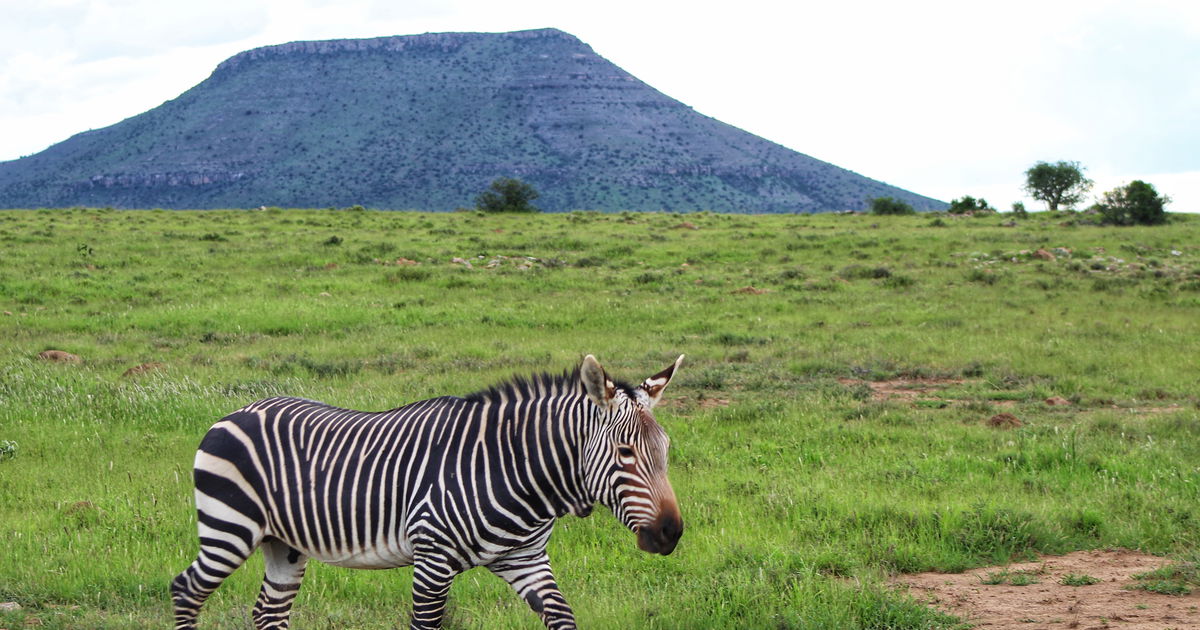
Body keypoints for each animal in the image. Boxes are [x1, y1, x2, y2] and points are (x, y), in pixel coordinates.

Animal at [172, 354, 684, 629]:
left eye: (665, 449)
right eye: (624, 453)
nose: (671, 533)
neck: (514, 469)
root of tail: (237, 411)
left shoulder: (525, 560)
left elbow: (563, 618)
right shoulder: (432, 560)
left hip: (284, 545)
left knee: (267, 614)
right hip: (229, 529)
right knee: (186, 590)